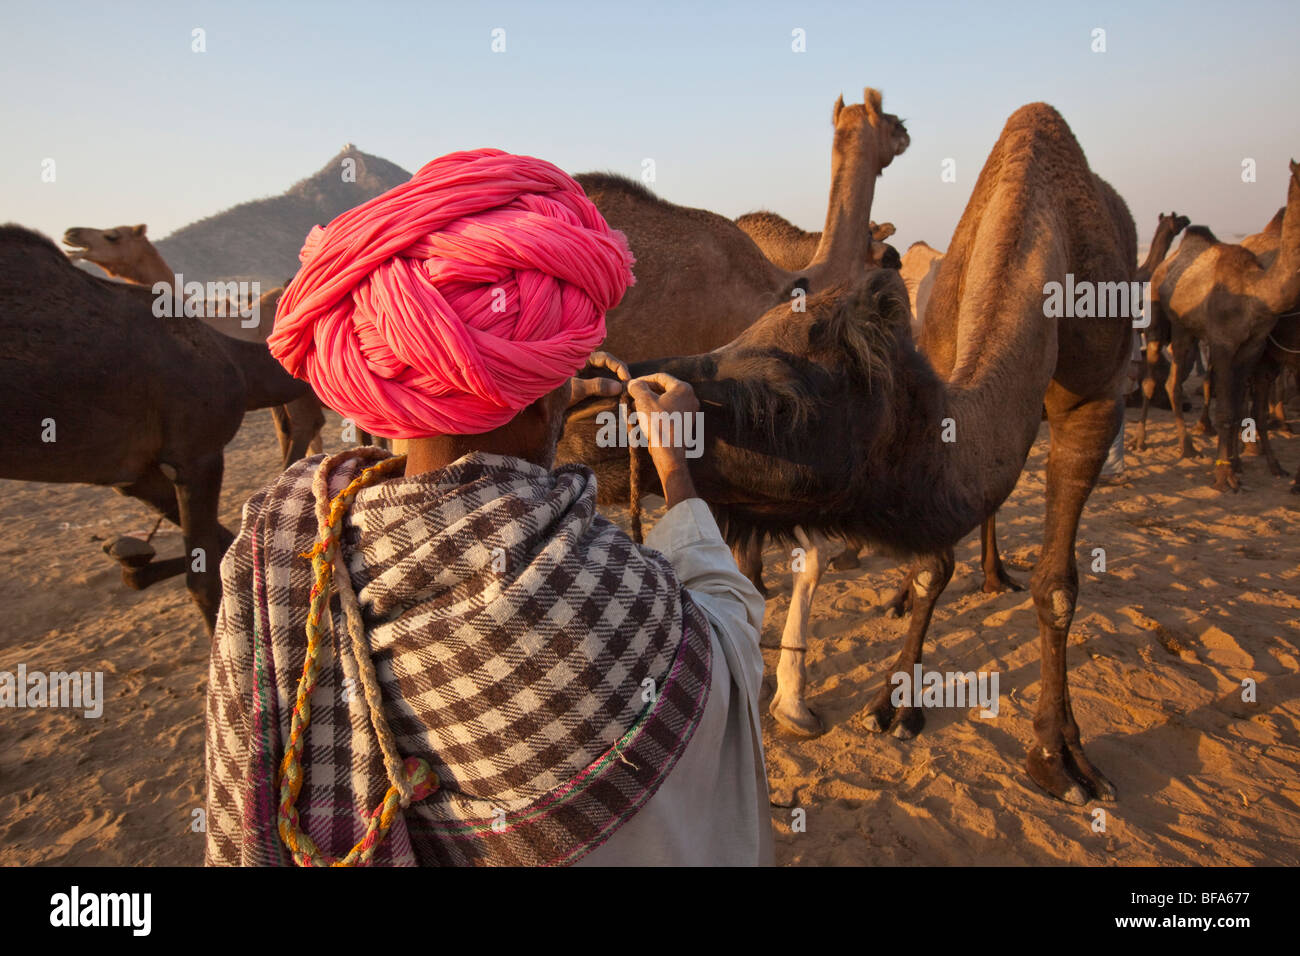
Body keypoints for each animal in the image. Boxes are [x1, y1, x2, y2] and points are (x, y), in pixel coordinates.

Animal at [1142, 163, 1300, 490]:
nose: (1185, 219)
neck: (1257, 290)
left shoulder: (1253, 346)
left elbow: (1235, 405)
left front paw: (1235, 465)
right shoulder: (1223, 343)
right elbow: (1226, 406)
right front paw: (1224, 475)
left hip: (1188, 332)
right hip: (1162, 323)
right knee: (1161, 380)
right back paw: (1166, 443)